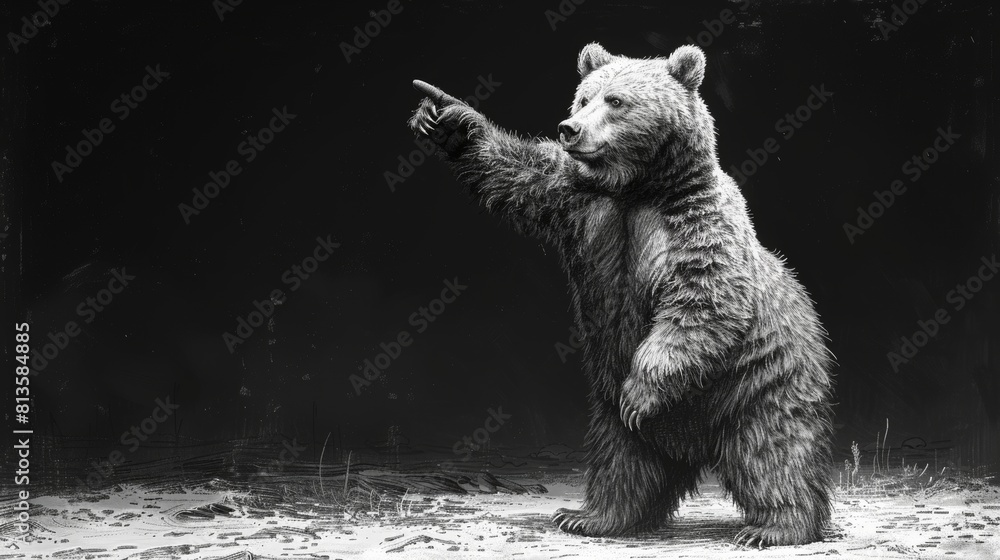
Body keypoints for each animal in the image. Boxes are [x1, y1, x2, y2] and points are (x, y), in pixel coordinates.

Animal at [408, 43, 835, 547]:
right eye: (582, 98)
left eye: (615, 101)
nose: (569, 128)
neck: (638, 188)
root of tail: (694, 445)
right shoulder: (579, 200)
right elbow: (519, 173)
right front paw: (448, 119)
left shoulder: (698, 223)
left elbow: (704, 299)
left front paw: (642, 390)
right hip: (612, 406)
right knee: (624, 458)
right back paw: (593, 516)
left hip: (762, 378)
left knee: (771, 449)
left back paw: (774, 526)